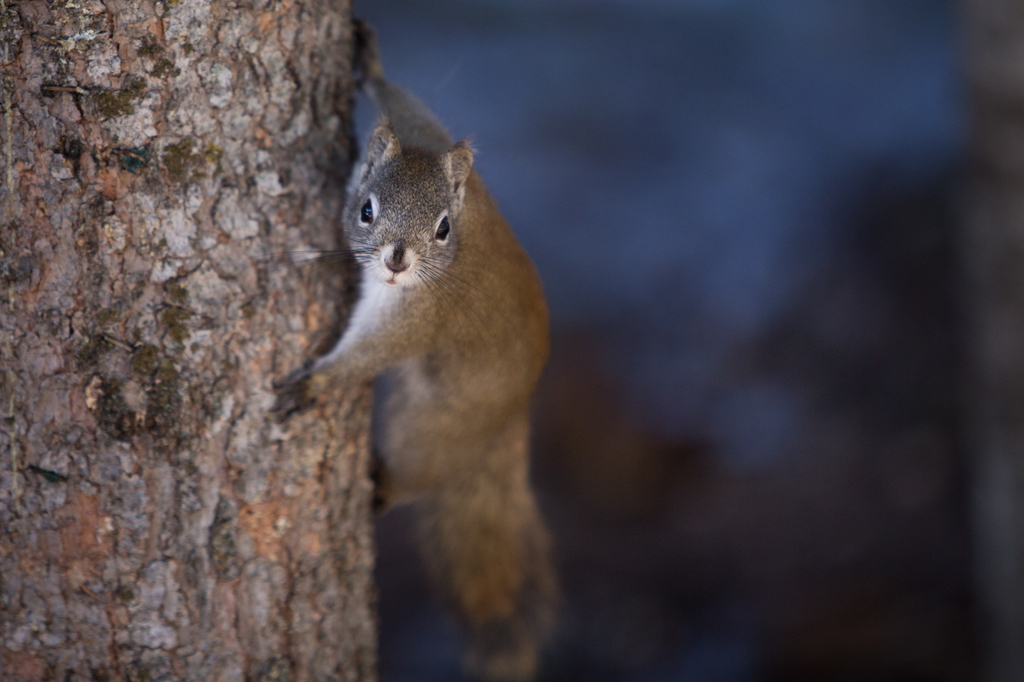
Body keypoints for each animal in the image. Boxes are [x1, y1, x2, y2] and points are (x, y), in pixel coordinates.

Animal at [274, 19, 558, 682]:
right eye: (366, 209)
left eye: (443, 228)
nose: (397, 260)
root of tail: (512, 417)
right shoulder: (422, 135)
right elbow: (404, 104)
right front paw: (368, 63)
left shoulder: (418, 319)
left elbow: (370, 352)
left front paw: (317, 382)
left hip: (430, 427)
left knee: (418, 474)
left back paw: (382, 490)